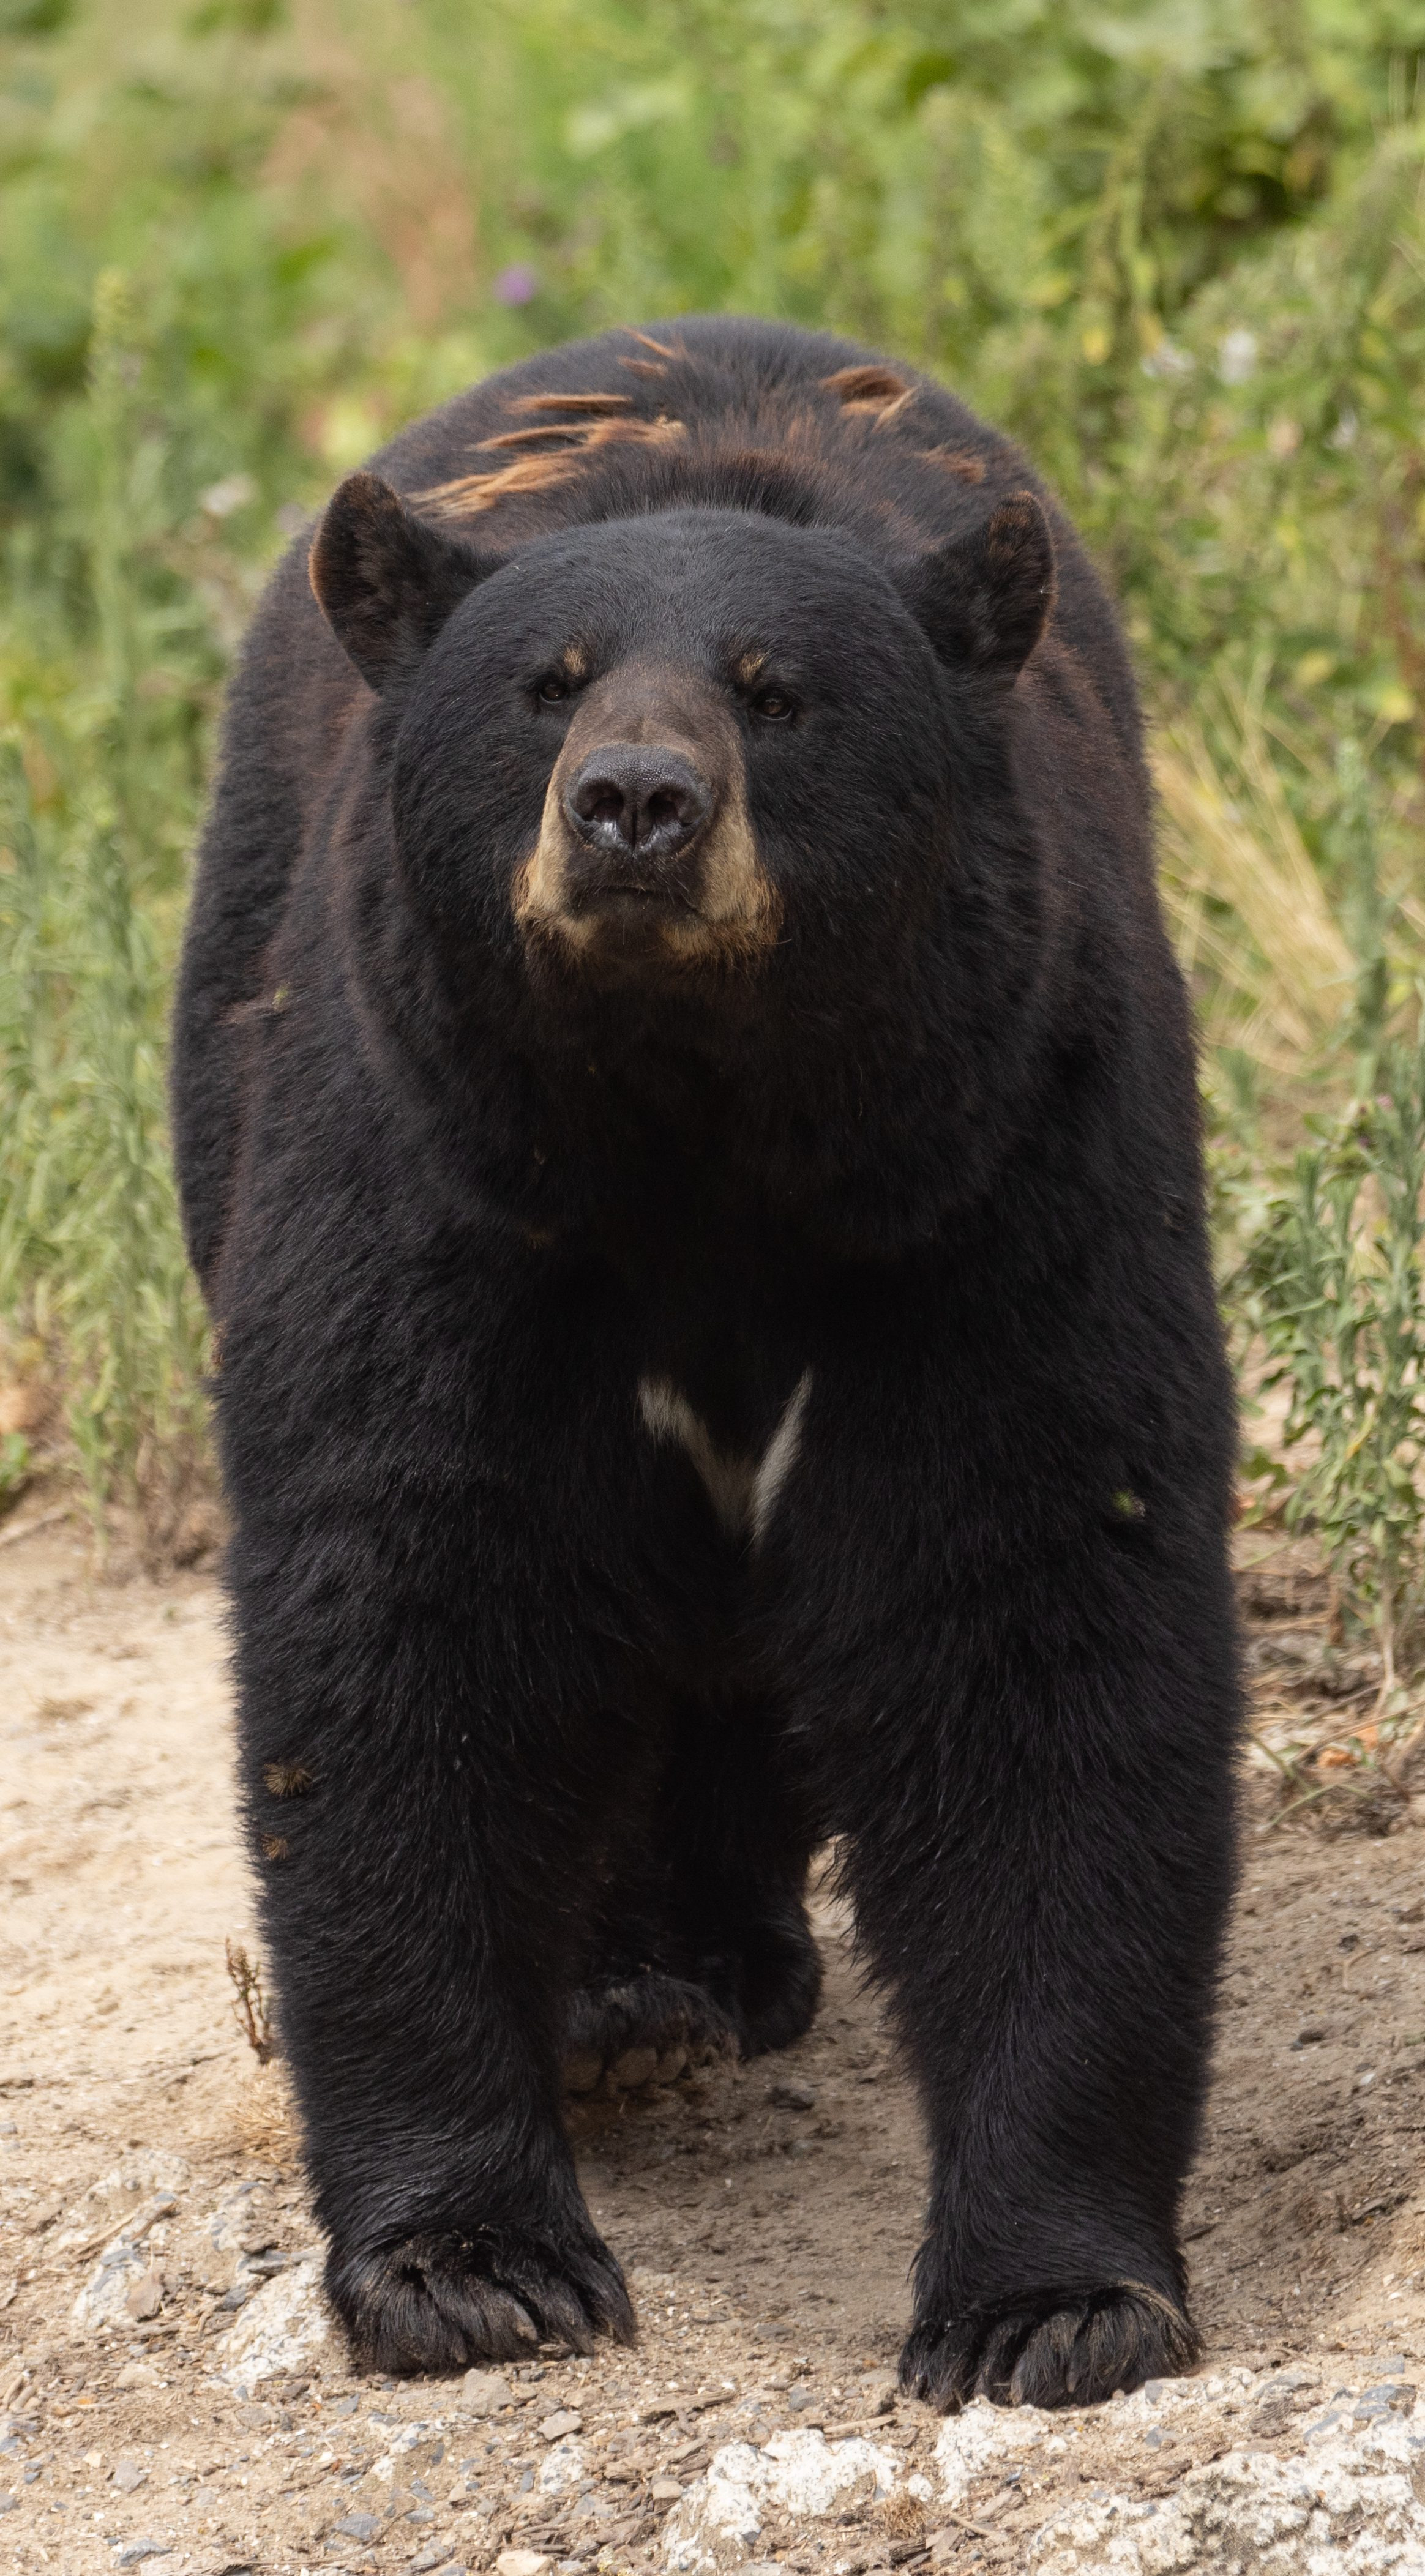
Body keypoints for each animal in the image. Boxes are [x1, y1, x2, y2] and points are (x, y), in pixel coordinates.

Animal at [172, 314, 1240, 2410]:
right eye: (546, 684)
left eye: (778, 693)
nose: (636, 808)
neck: (699, 1121)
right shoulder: (435, 1153)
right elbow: (409, 1594)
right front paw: (472, 2263)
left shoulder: (998, 1148)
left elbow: (1041, 1594)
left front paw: (1053, 2294)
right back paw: (627, 1986)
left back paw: (710, 1954)